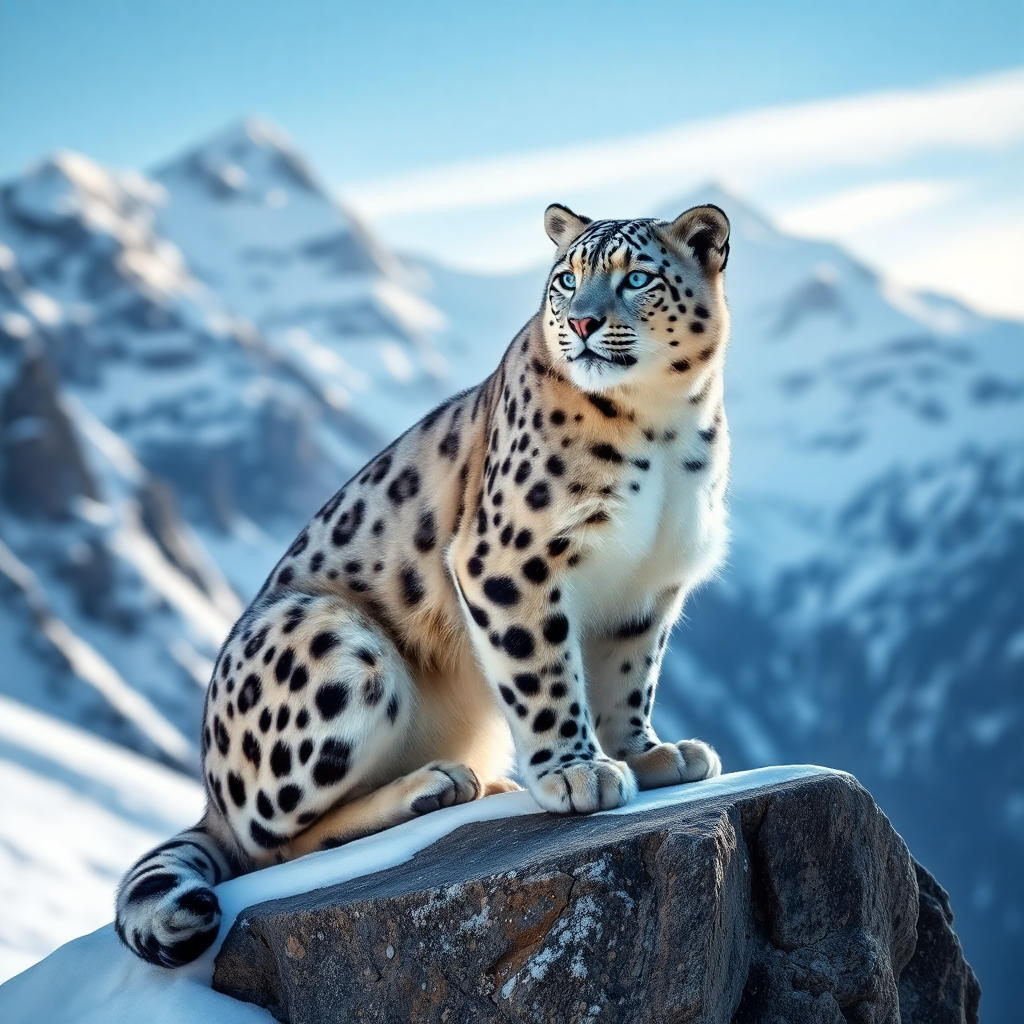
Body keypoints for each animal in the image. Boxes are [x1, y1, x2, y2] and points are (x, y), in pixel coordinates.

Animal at [115, 201, 732, 968]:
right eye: (566, 279)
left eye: (638, 277)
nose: (583, 322)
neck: (664, 425)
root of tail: (210, 792)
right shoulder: (511, 557)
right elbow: (544, 673)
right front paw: (574, 772)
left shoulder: (647, 588)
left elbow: (628, 680)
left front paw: (648, 755)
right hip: (334, 644)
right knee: (270, 847)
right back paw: (433, 787)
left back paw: (484, 781)